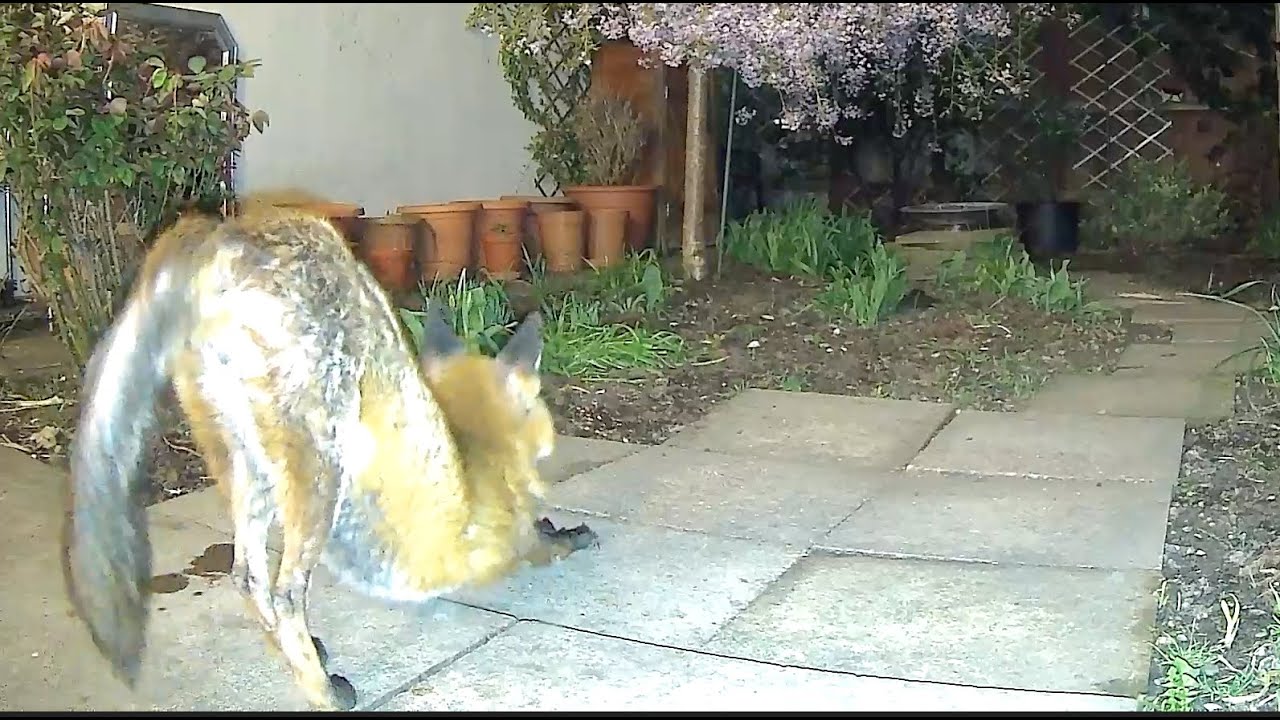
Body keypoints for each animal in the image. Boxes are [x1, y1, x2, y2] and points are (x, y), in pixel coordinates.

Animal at [62, 202, 599, 711]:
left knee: (246, 576)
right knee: (285, 593)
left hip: (248, 464)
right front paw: (566, 535)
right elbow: (540, 541)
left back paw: (302, 656)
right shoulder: (510, 540)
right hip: (320, 466)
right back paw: (323, 691)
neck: (477, 446)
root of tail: (223, 232)